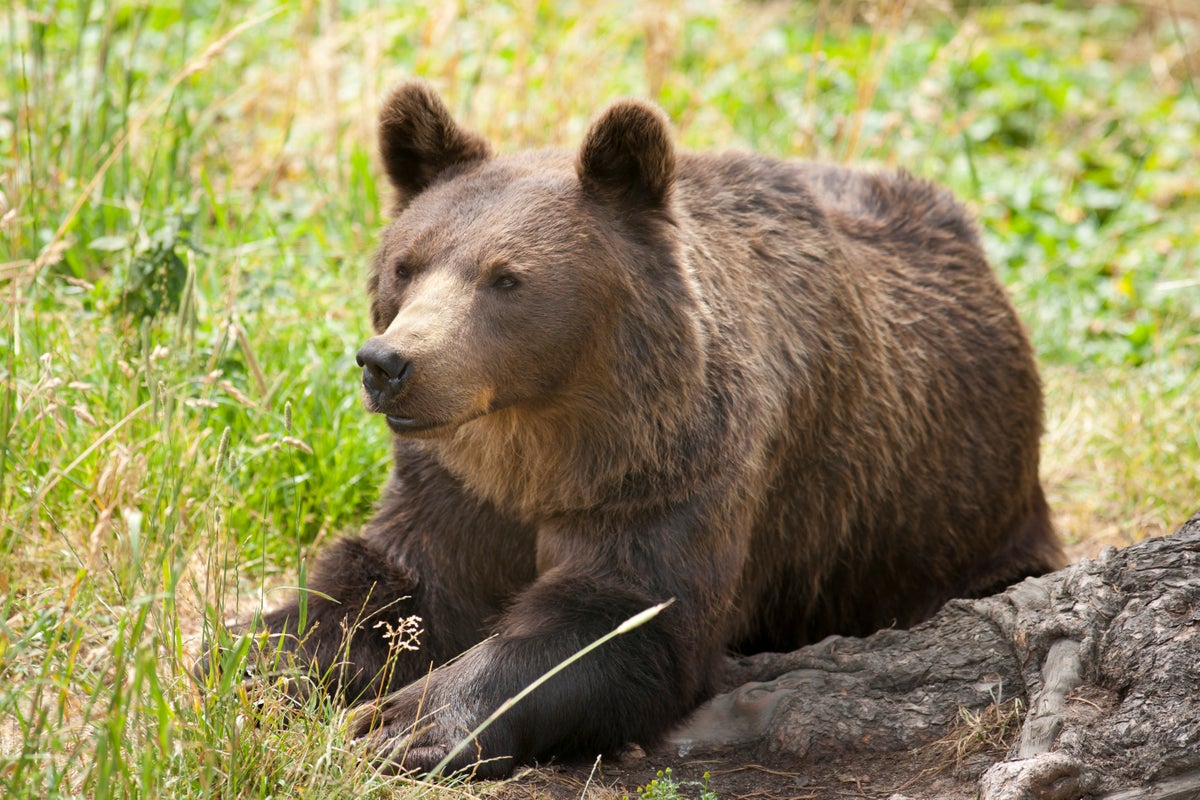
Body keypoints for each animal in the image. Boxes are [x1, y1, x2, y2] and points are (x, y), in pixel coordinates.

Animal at [237, 80, 1065, 778]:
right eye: (407, 264)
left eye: (506, 278)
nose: (389, 363)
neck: (541, 440)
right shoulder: (456, 487)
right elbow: (383, 589)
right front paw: (253, 661)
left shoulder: (678, 471)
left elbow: (621, 619)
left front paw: (402, 723)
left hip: (951, 522)